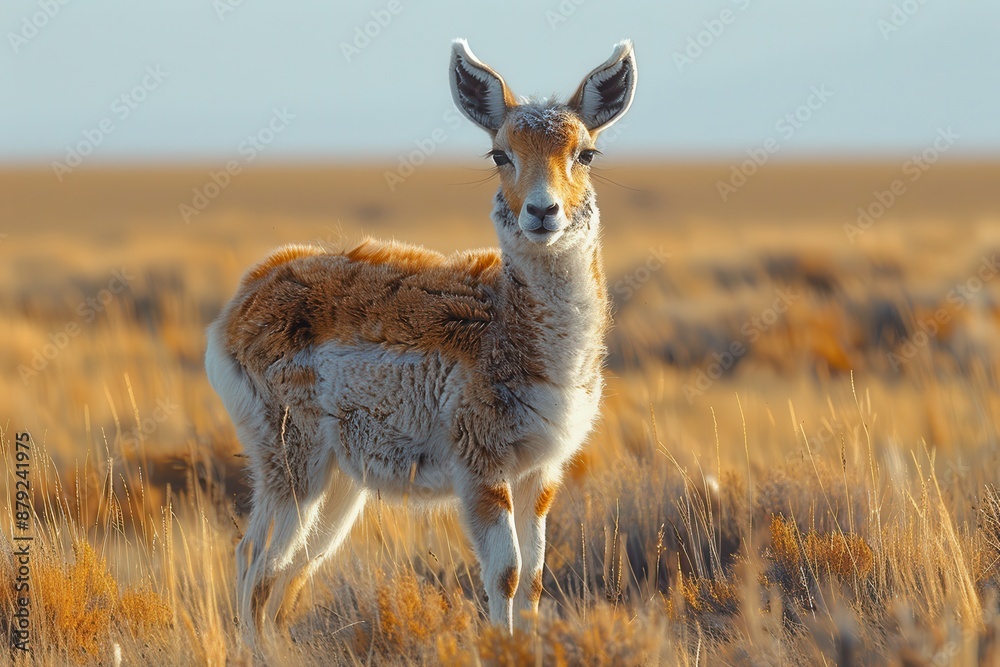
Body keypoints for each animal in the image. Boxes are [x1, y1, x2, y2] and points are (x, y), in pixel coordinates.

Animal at [205, 38, 637, 646]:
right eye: (500, 154)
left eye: (586, 152)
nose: (542, 212)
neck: (515, 330)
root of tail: (256, 285)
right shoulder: (481, 472)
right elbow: (504, 574)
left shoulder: (540, 475)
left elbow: (532, 579)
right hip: (294, 470)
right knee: (257, 565)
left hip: (338, 487)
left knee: (288, 567)